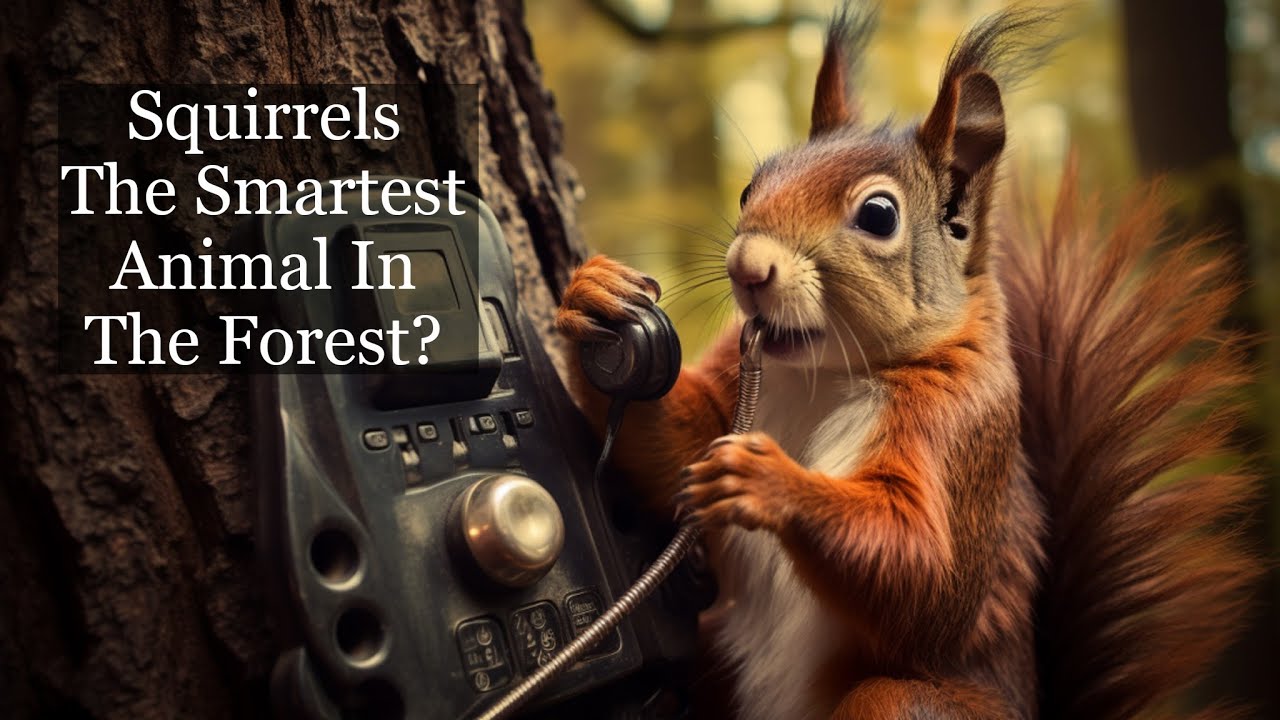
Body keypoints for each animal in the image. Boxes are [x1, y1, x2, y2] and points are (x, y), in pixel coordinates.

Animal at [554, 5, 1258, 719]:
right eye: (751, 186)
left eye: (878, 214)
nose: (748, 267)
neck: (826, 376)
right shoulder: (734, 378)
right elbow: (673, 448)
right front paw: (593, 293)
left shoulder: (963, 428)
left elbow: (926, 579)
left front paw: (770, 481)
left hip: (910, 701)